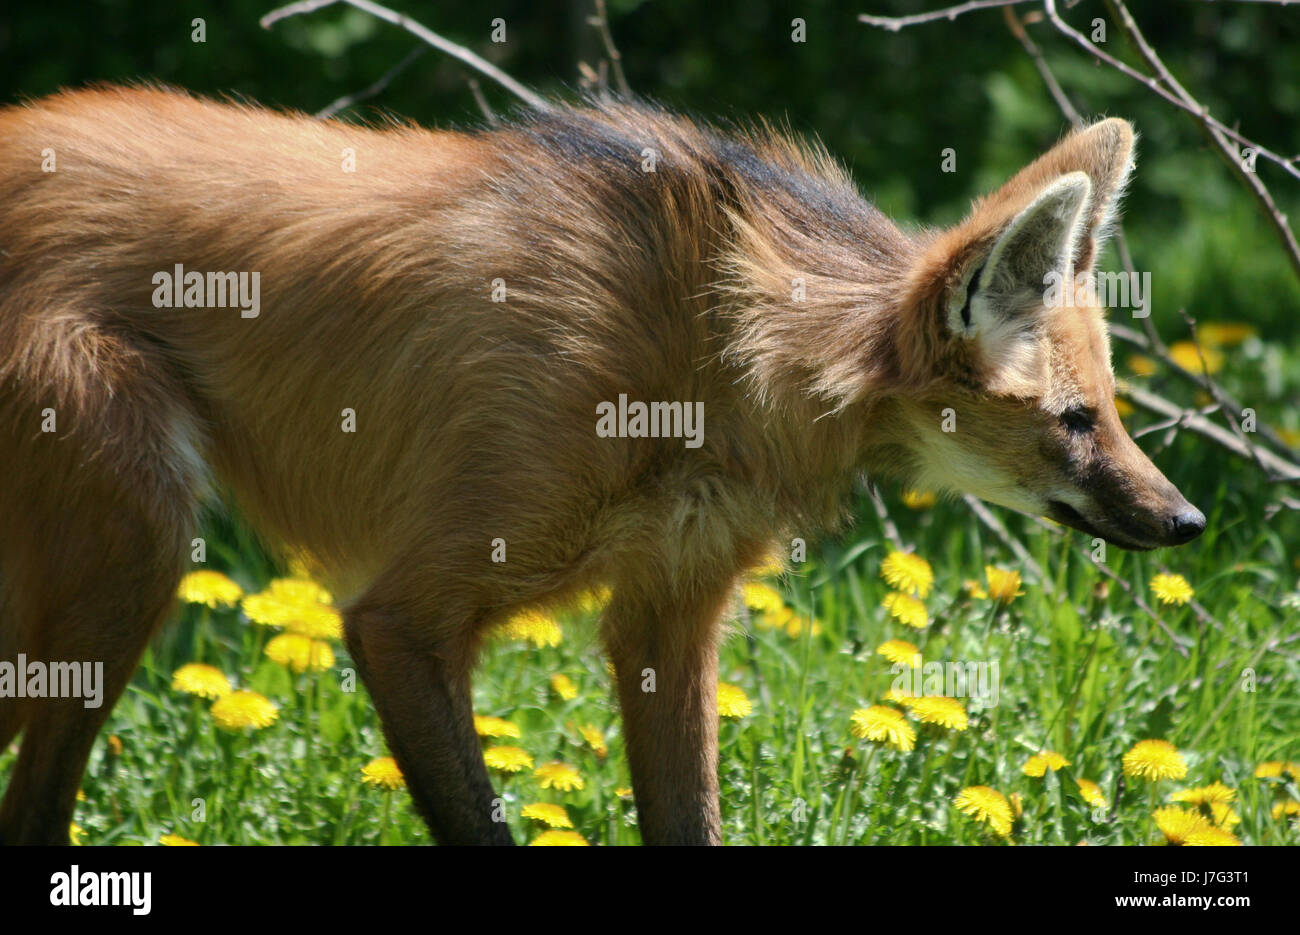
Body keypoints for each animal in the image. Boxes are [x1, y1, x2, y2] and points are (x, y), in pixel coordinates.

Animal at [0, 87, 1202, 844]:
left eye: (1109, 413)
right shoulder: (401, 615)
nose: (1186, 520)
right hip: (132, 554)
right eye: (1074, 421)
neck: (715, 348)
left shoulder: (669, 611)